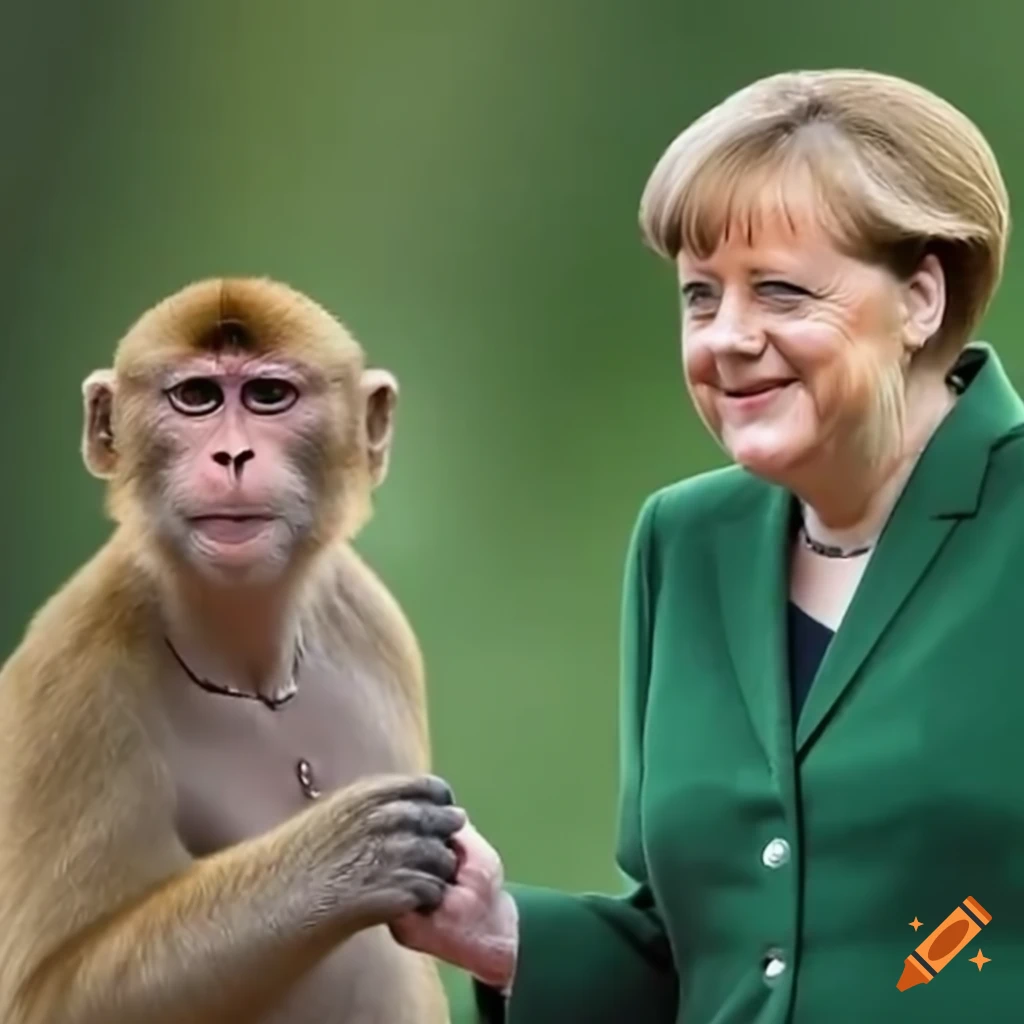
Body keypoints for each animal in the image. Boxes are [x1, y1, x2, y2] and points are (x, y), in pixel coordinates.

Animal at [0, 278, 463, 1024]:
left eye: (269, 395)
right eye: (196, 397)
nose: (233, 456)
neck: (247, 670)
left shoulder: (372, 618)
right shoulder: (68, 689)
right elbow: (45, 997)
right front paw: (341, 859)